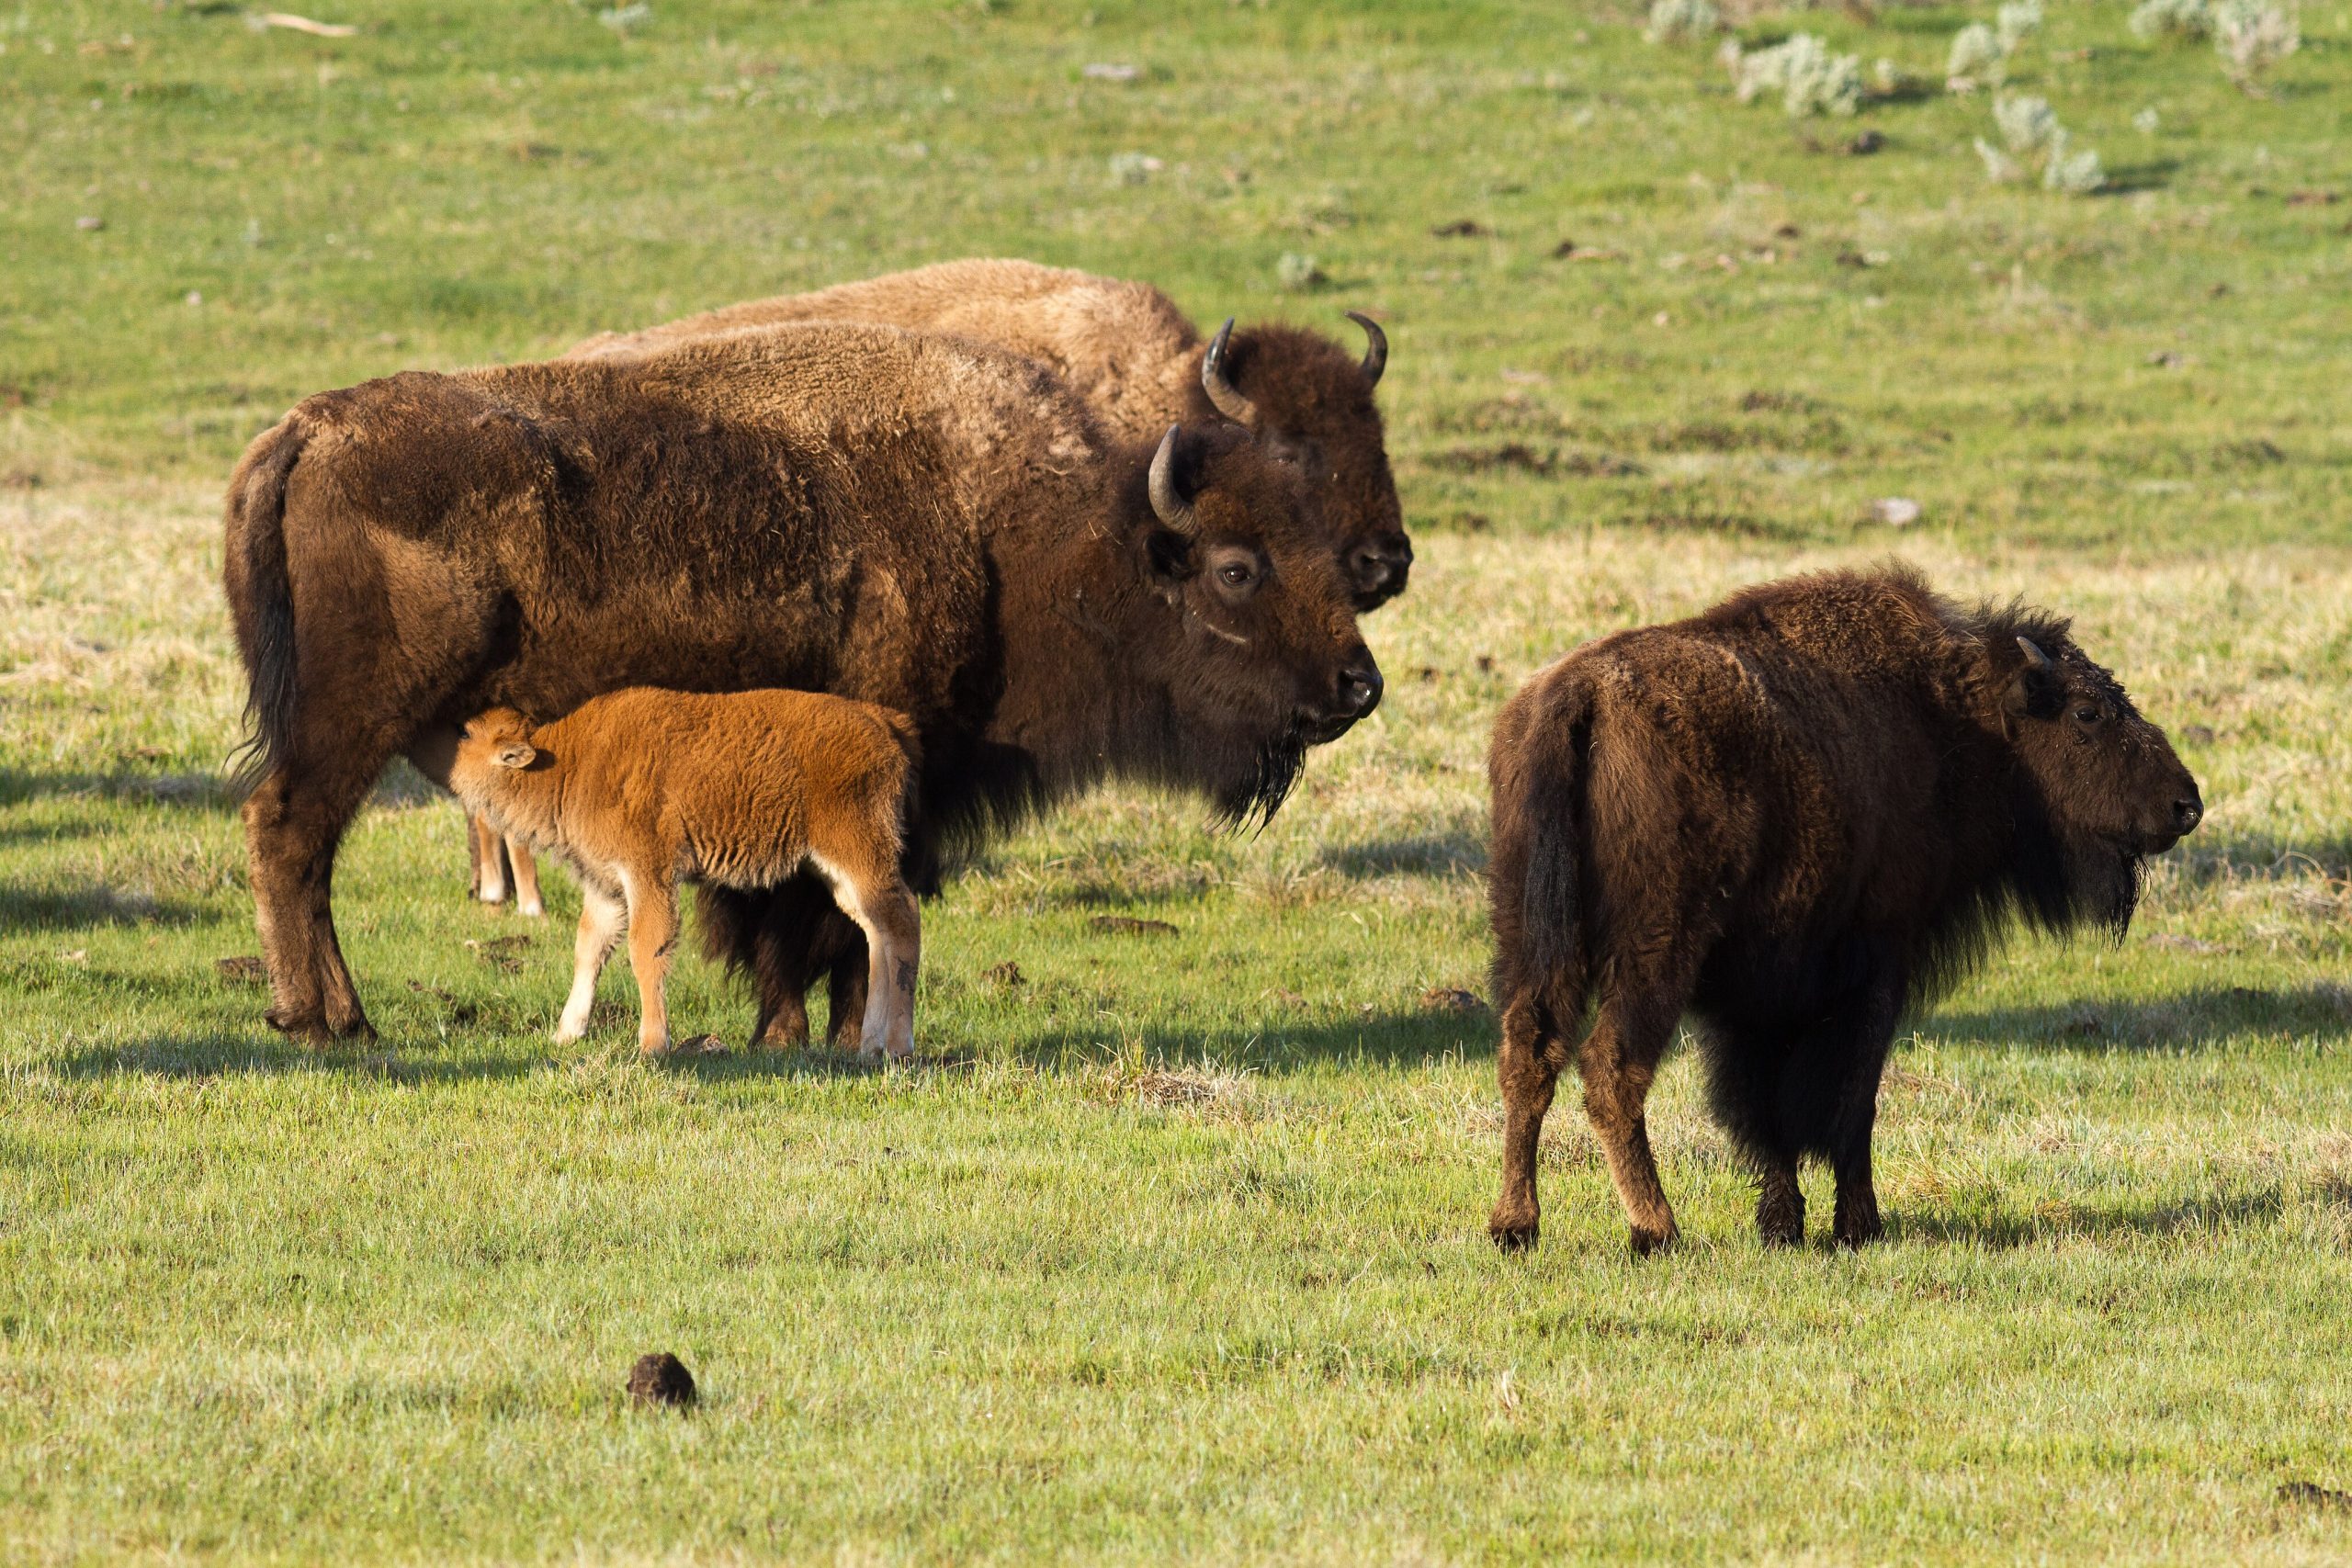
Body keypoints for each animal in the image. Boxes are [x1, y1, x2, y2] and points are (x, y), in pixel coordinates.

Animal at [224, 324, 1380, 1048]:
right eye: (1236, 567)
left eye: (1323, 546)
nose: (1357, 686)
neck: (1011, 533)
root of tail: (307, 432)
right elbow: (815, 918)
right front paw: (806, 1032)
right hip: (351, 721)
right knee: (291, 835)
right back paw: (322, 1022)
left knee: (304, 850)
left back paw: (336, 1015)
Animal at [1485, 566, 2201, 1255]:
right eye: (2086, 713)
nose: (2186, 804)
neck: (1948, 716)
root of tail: (1582, 696)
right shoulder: (1877, 965)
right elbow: (1851, 1101)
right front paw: (1858, 1226)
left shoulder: (1766, 995)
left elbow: (1768, 1108)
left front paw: (1782, 1225)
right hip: (1654, 951)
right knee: (1613, 1068)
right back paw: (1656, 1229)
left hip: (1532, 940)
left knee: (1529, 1053)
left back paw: (1515, 1226)